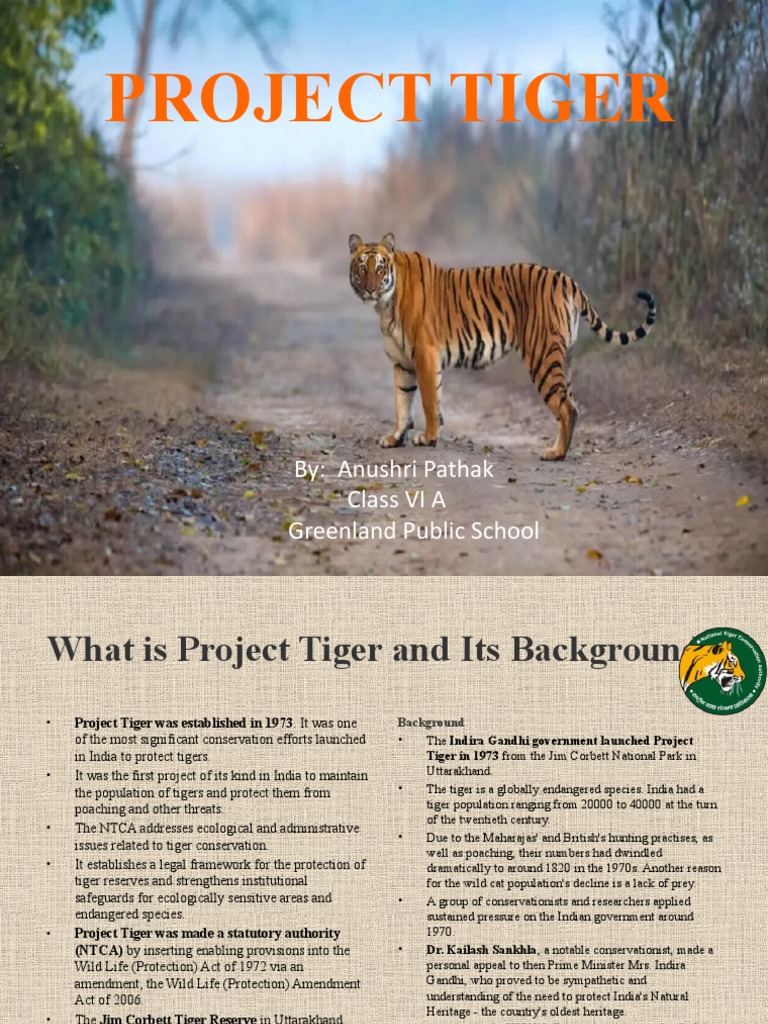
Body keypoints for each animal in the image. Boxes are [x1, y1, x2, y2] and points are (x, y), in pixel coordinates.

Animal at [348, 233, 656, 460]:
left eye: (379, 267)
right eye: (362, 267)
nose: (370, 288)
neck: (385, 304)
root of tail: (566, 279)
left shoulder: (425, 354)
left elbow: (428, 400)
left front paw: (429, 437)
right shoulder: (403, 362)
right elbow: (402, 402)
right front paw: (395, 438)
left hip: (542, 355)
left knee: (568, 408)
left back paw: (555, 454)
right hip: (563, 357)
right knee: (571, 403)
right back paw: (560, 449)